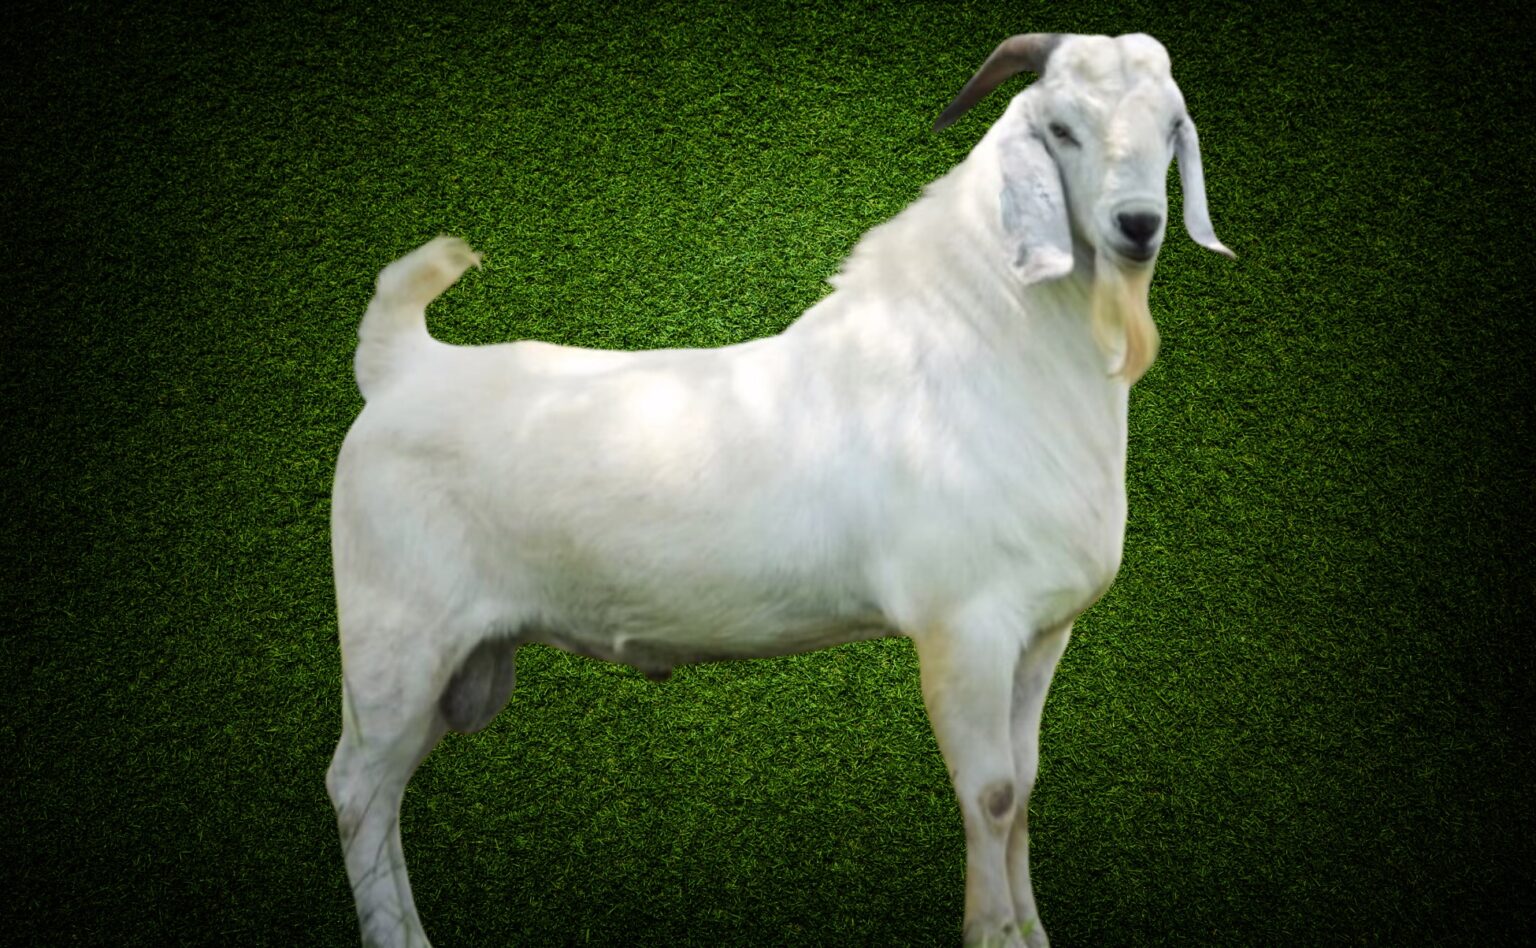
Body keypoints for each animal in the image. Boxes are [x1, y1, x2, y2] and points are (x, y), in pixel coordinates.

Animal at [326, 31, 1232, 948]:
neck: (982, 349)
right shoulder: (966, 625)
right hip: (395, 636)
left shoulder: (1042, 633)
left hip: (460, 665)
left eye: (1172, 126)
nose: (1138, 226)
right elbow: (991, 794)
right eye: (1061, 128)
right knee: (357, 788)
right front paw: (993, 932)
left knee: (384, 790)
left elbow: (1025, 791)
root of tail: (402, 368)